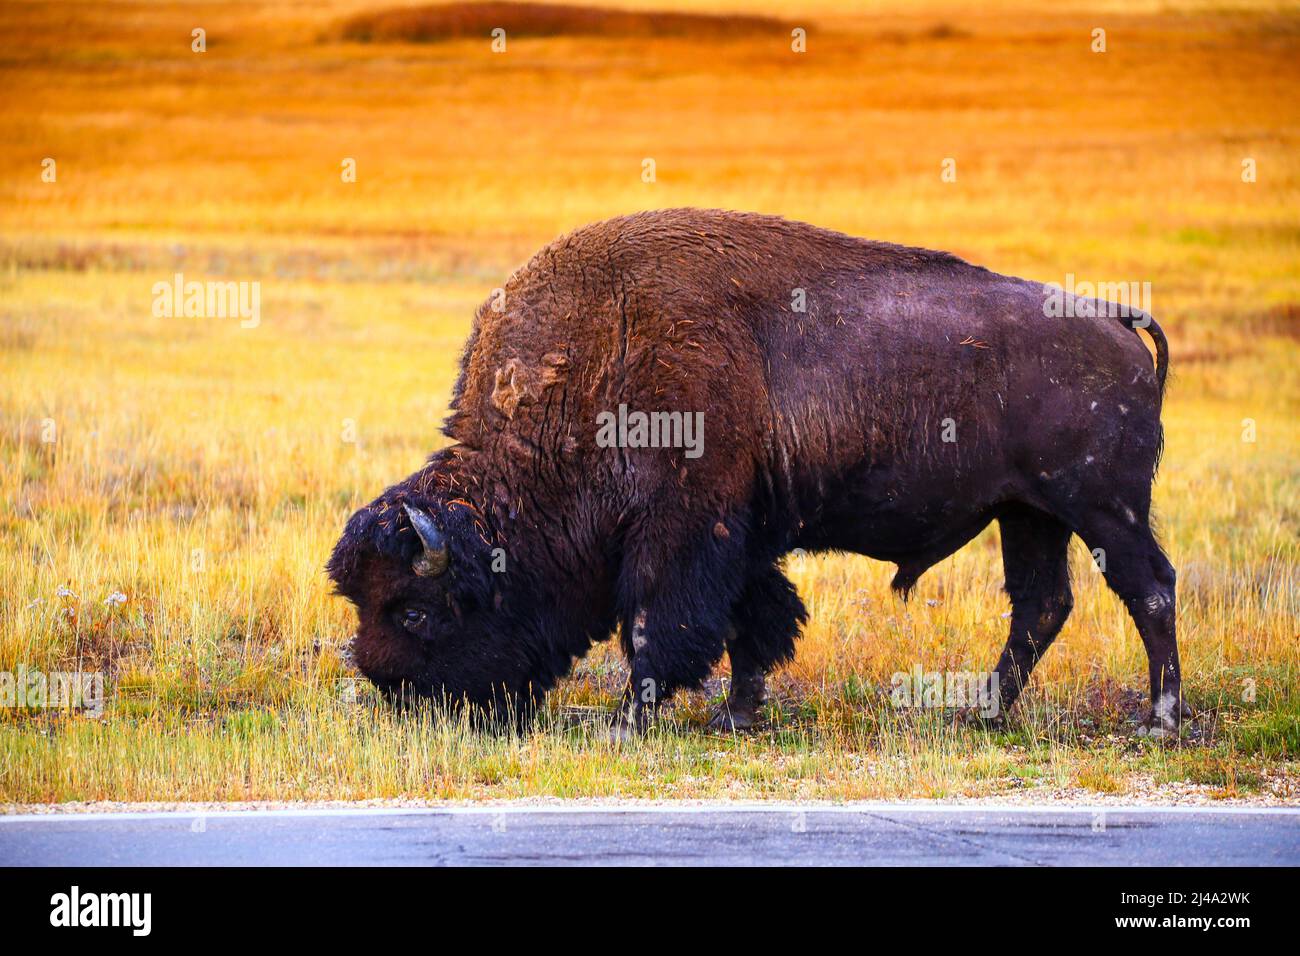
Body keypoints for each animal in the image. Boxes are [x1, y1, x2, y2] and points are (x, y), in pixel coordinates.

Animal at [328, 208, 1186, 738]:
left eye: (414, 610)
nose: (392, 690)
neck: (597, 362)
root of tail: (1113, 316)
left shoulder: (681, 528)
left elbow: (658, 623)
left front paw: (629, 721)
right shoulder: (736, 536)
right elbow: (754, 620)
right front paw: (738, 713)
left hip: (1102, 509)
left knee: (1148, 590)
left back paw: (1158, 720)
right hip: (1028, 513)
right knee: (1042, 605)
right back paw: (982, 712)